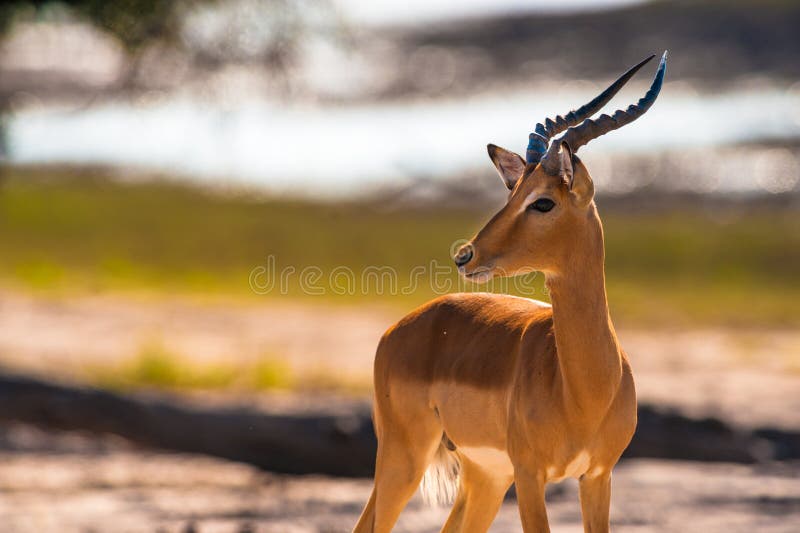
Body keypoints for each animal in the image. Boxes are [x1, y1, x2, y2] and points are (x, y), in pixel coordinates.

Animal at [354, 52, 667, 533]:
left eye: (543, 201)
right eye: (512, 192)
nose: (466, 255)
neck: (583, 392)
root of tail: (400, 328)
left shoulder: (597, 477)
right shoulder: (530, 474)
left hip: (484, 475)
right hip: (405, 457)